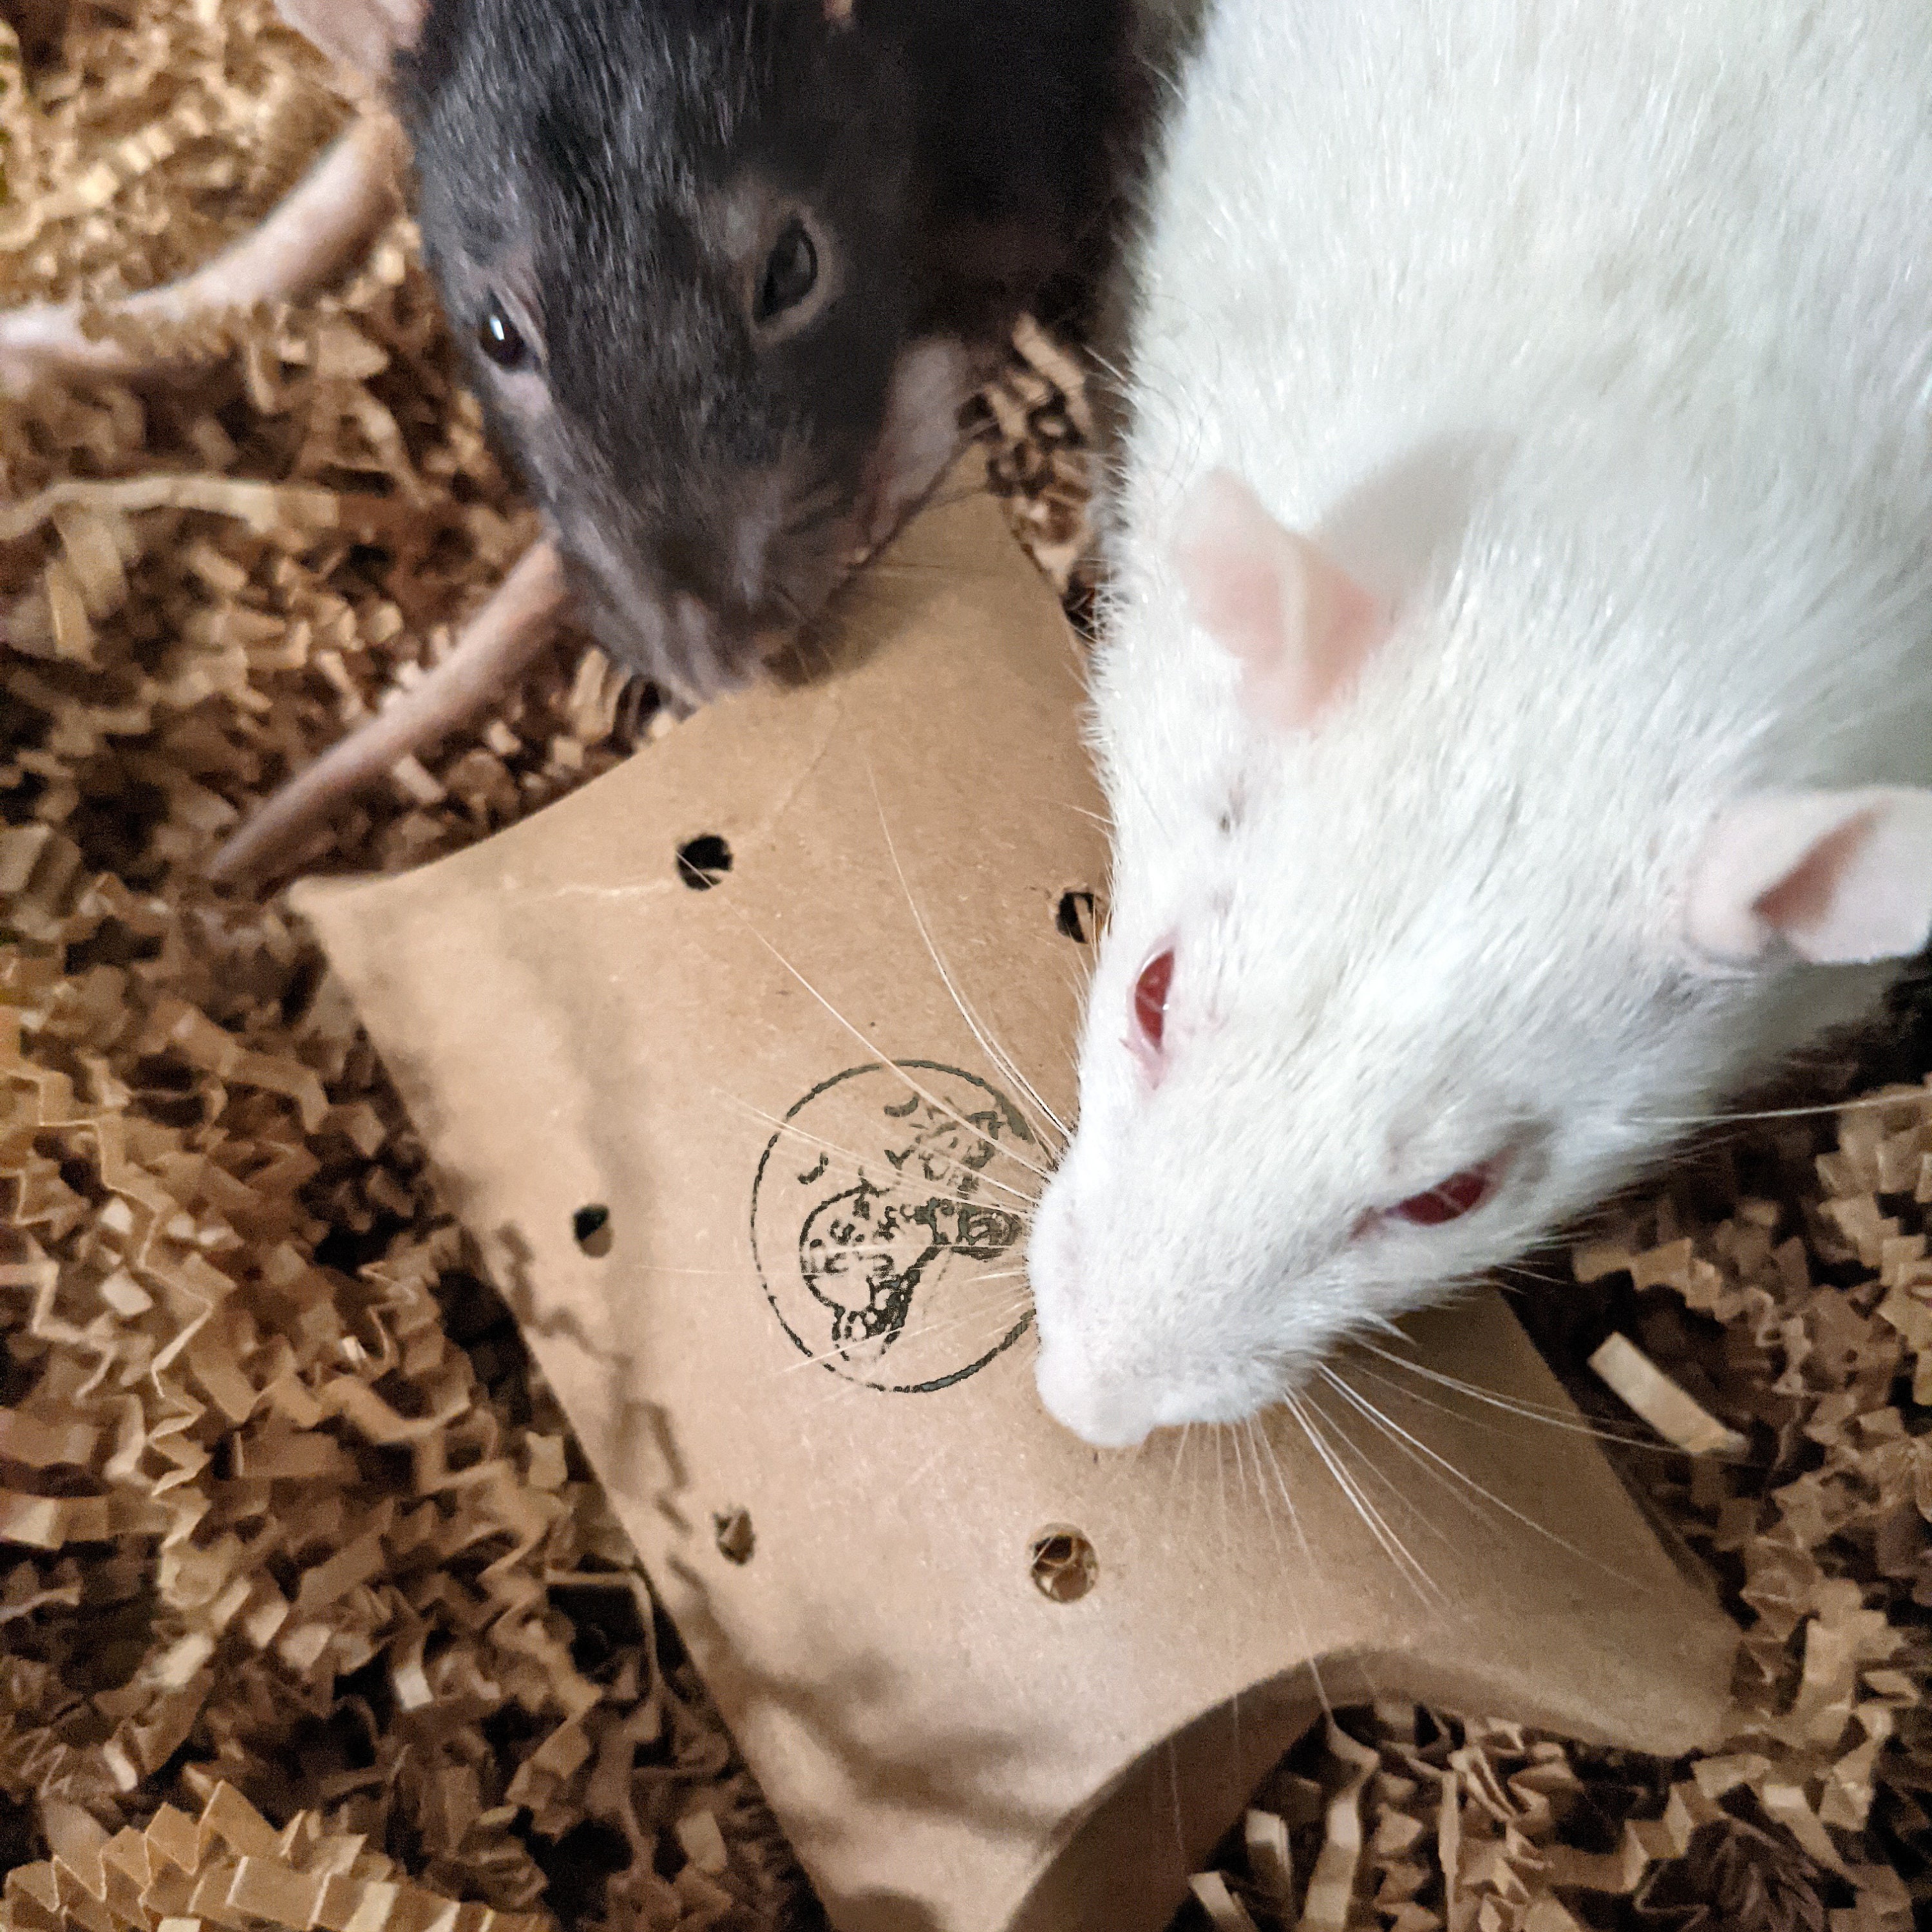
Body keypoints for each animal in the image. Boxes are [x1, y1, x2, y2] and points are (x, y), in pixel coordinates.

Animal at [275, 0, 1132, 705]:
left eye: (794, 269)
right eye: (498, 336)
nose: (714, 664)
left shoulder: (1026, 110)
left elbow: (999, 275)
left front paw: (898, 457)